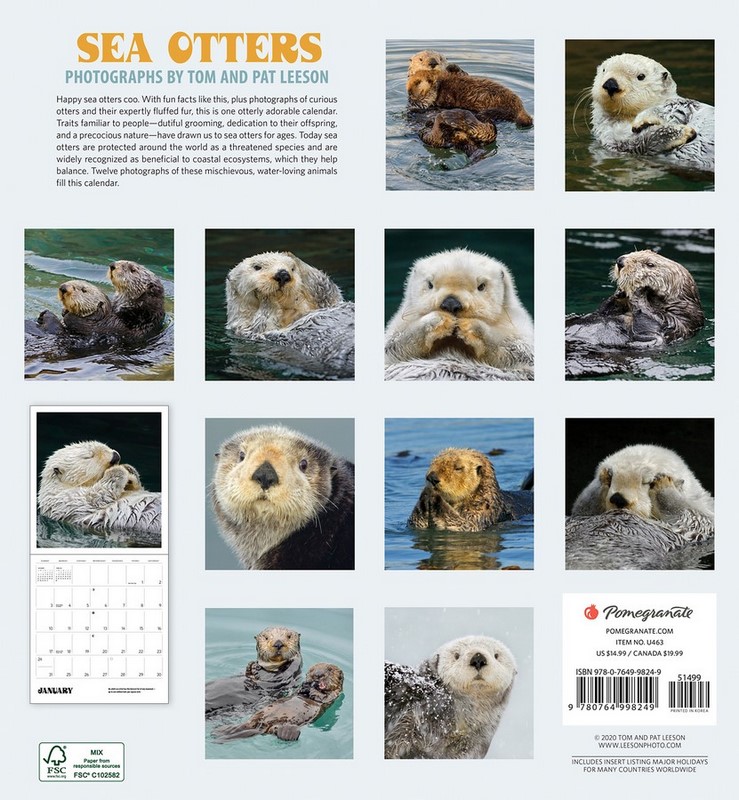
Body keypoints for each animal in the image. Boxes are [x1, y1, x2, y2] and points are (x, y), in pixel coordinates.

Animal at [214, 663, 344, 741]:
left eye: (329, 670)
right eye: (312, 670)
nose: (318, 675)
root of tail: (260, 725)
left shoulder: (334, 695)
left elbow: (324, 696)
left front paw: (314, 689)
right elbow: (298, 690)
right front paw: (305, 685)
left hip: (277, 726)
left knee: (277, 731)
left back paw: (288, 734)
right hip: (259, 716)